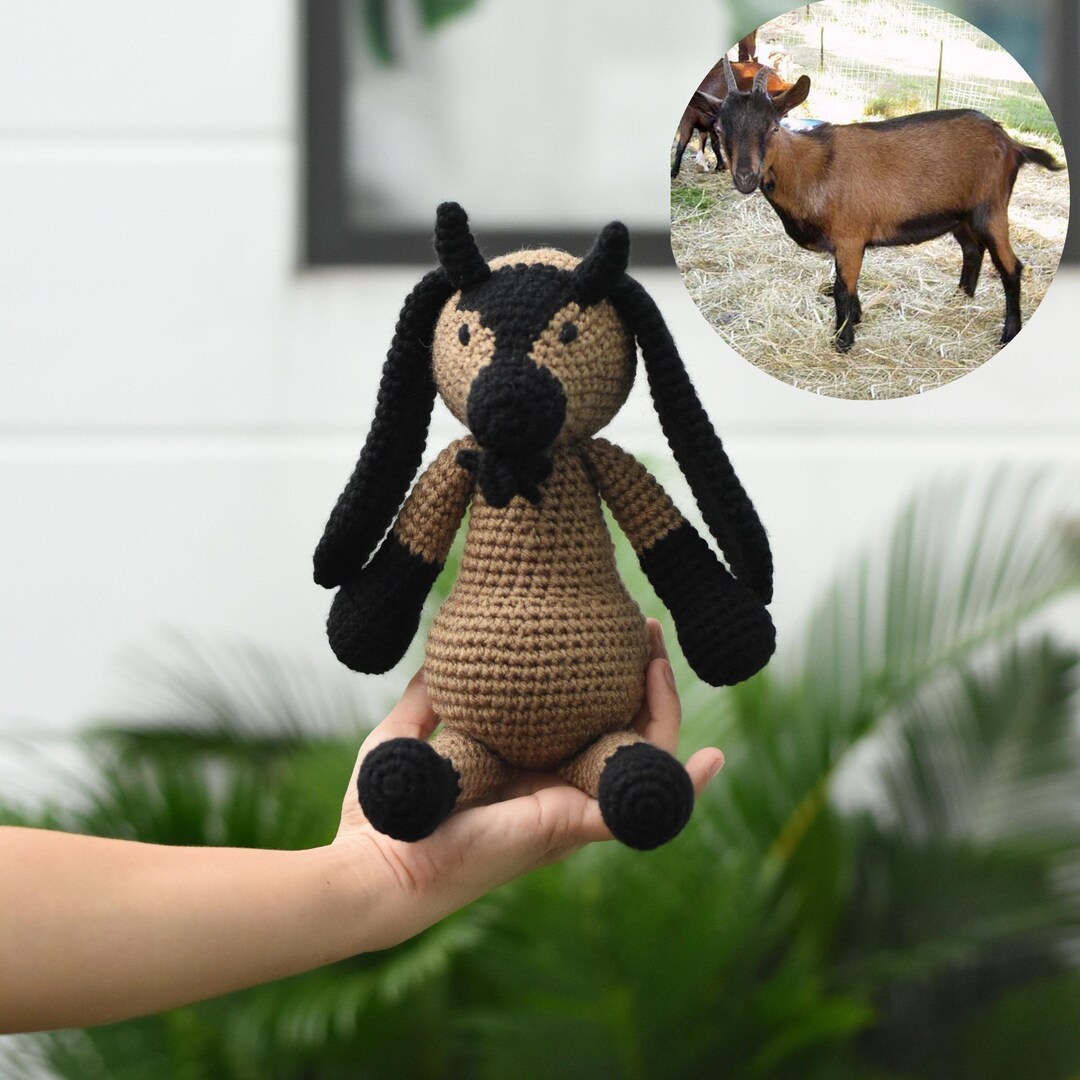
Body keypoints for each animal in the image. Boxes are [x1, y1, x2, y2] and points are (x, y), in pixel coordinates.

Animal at [714, 58, 1065, 351]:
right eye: (718, 128)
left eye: (773, 127)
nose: (745, 176)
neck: (809, 169)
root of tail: (1011, 143)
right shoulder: (848, 244)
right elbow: (847, 284)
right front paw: (855, 320)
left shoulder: (850, 237)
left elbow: (842, 287)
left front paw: (843, 340)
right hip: (960, 216)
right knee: (971, 250)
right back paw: (961, 296)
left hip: (989, 210)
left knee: (1011, 266)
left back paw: (1009, 332)